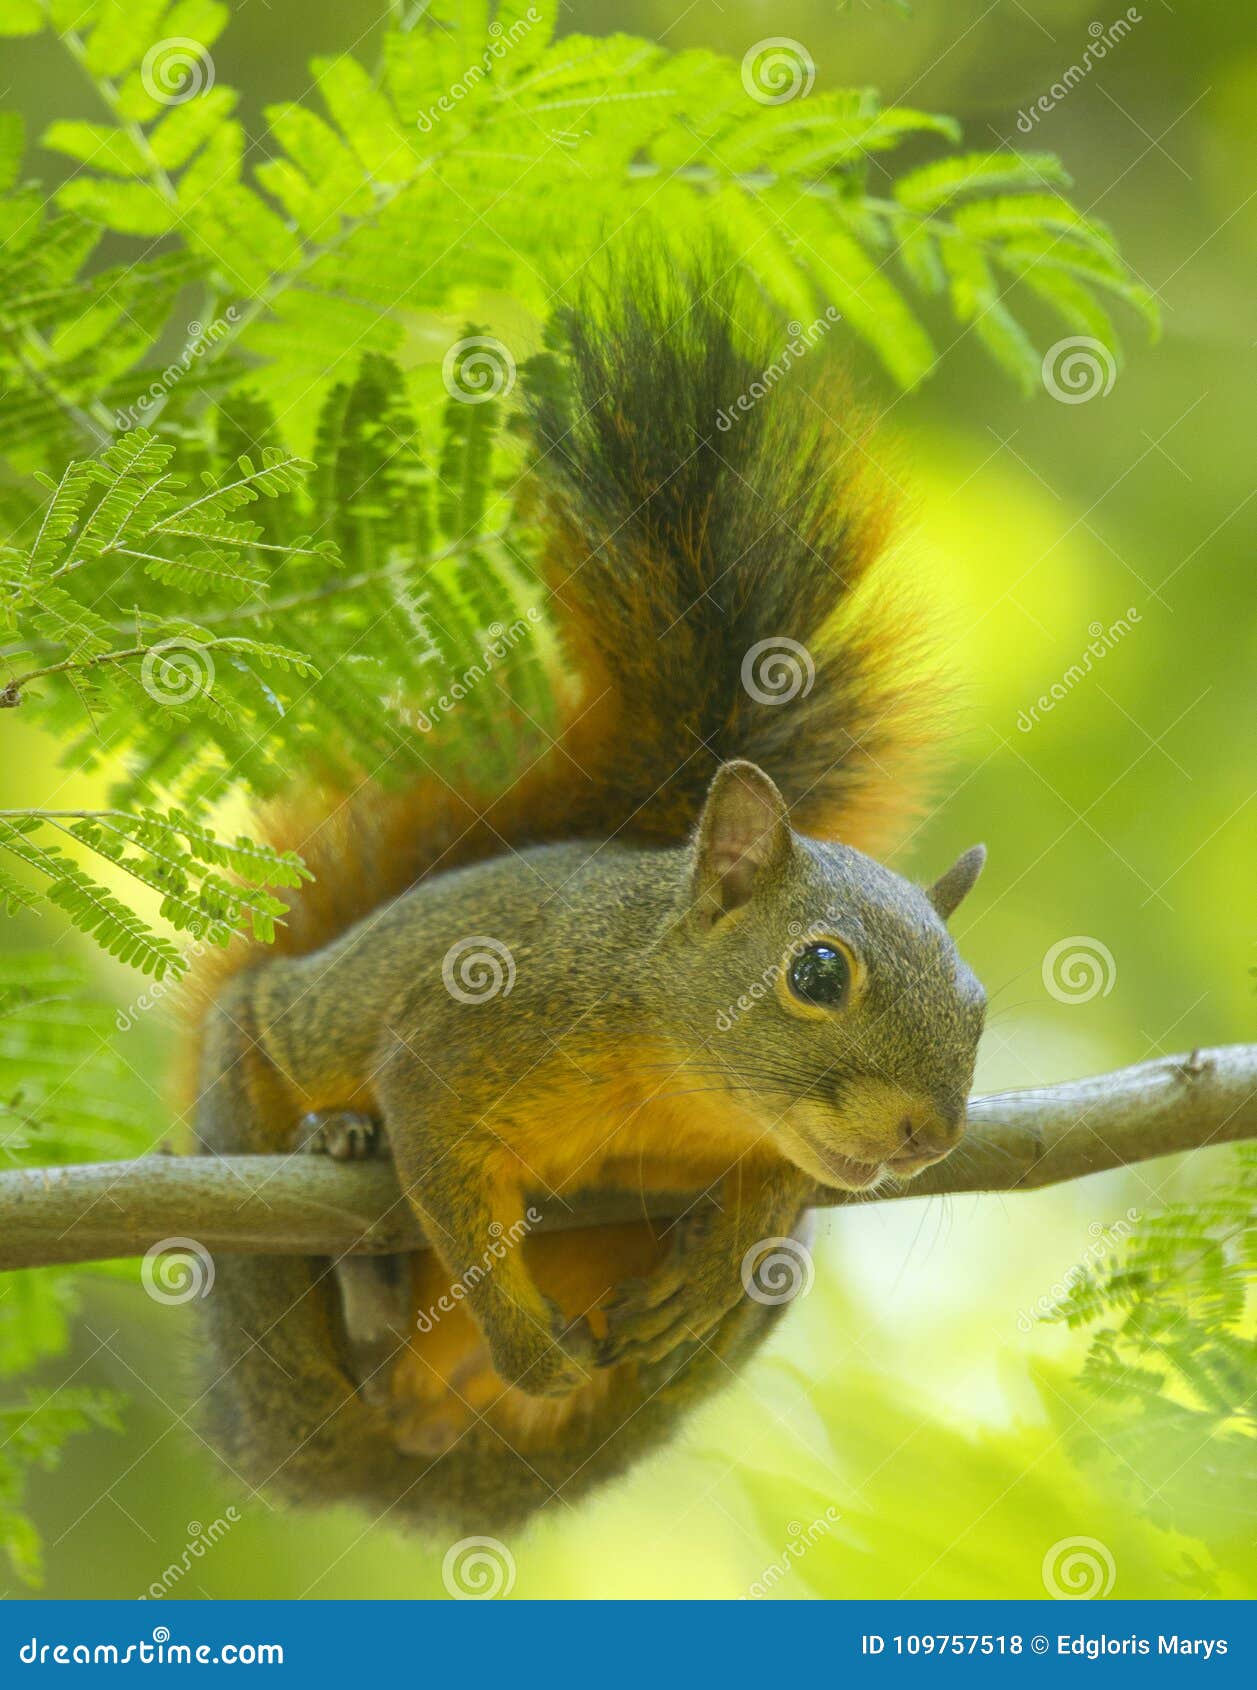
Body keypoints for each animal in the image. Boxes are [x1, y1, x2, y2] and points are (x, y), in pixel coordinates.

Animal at [190, 266, 987, 1535]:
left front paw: (733, 1240)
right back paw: (351, 1210)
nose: (930, 1135)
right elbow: (441, 1149)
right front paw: (527, 1341)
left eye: (979, 1008)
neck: (676, 1069)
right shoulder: (472, 1031)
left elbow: (784, 1181)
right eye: (816, 972)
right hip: (259, 1084)